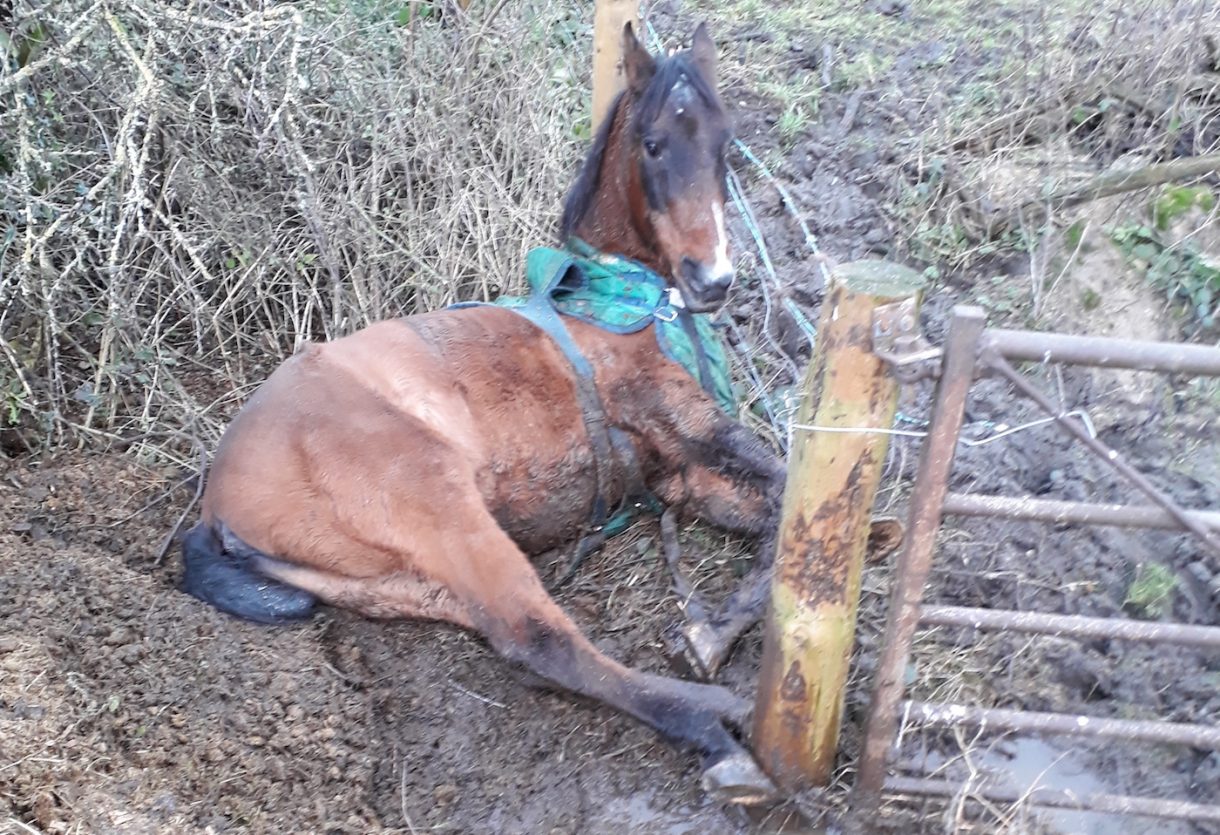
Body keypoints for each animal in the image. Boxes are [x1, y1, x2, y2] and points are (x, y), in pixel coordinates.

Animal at [179, 22, 785, 804]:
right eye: (653, 143)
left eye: (725, 141)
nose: (713, 281)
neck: (621, 303)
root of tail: (214, 499)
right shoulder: (692, 429)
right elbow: (797, 491)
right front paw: (708, 639)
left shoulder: (683, 475)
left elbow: (784, 517)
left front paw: (721, 625)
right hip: (440, 501)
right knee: (539, 639)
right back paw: (715, 726)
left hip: (403, 582)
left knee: (506, 632)